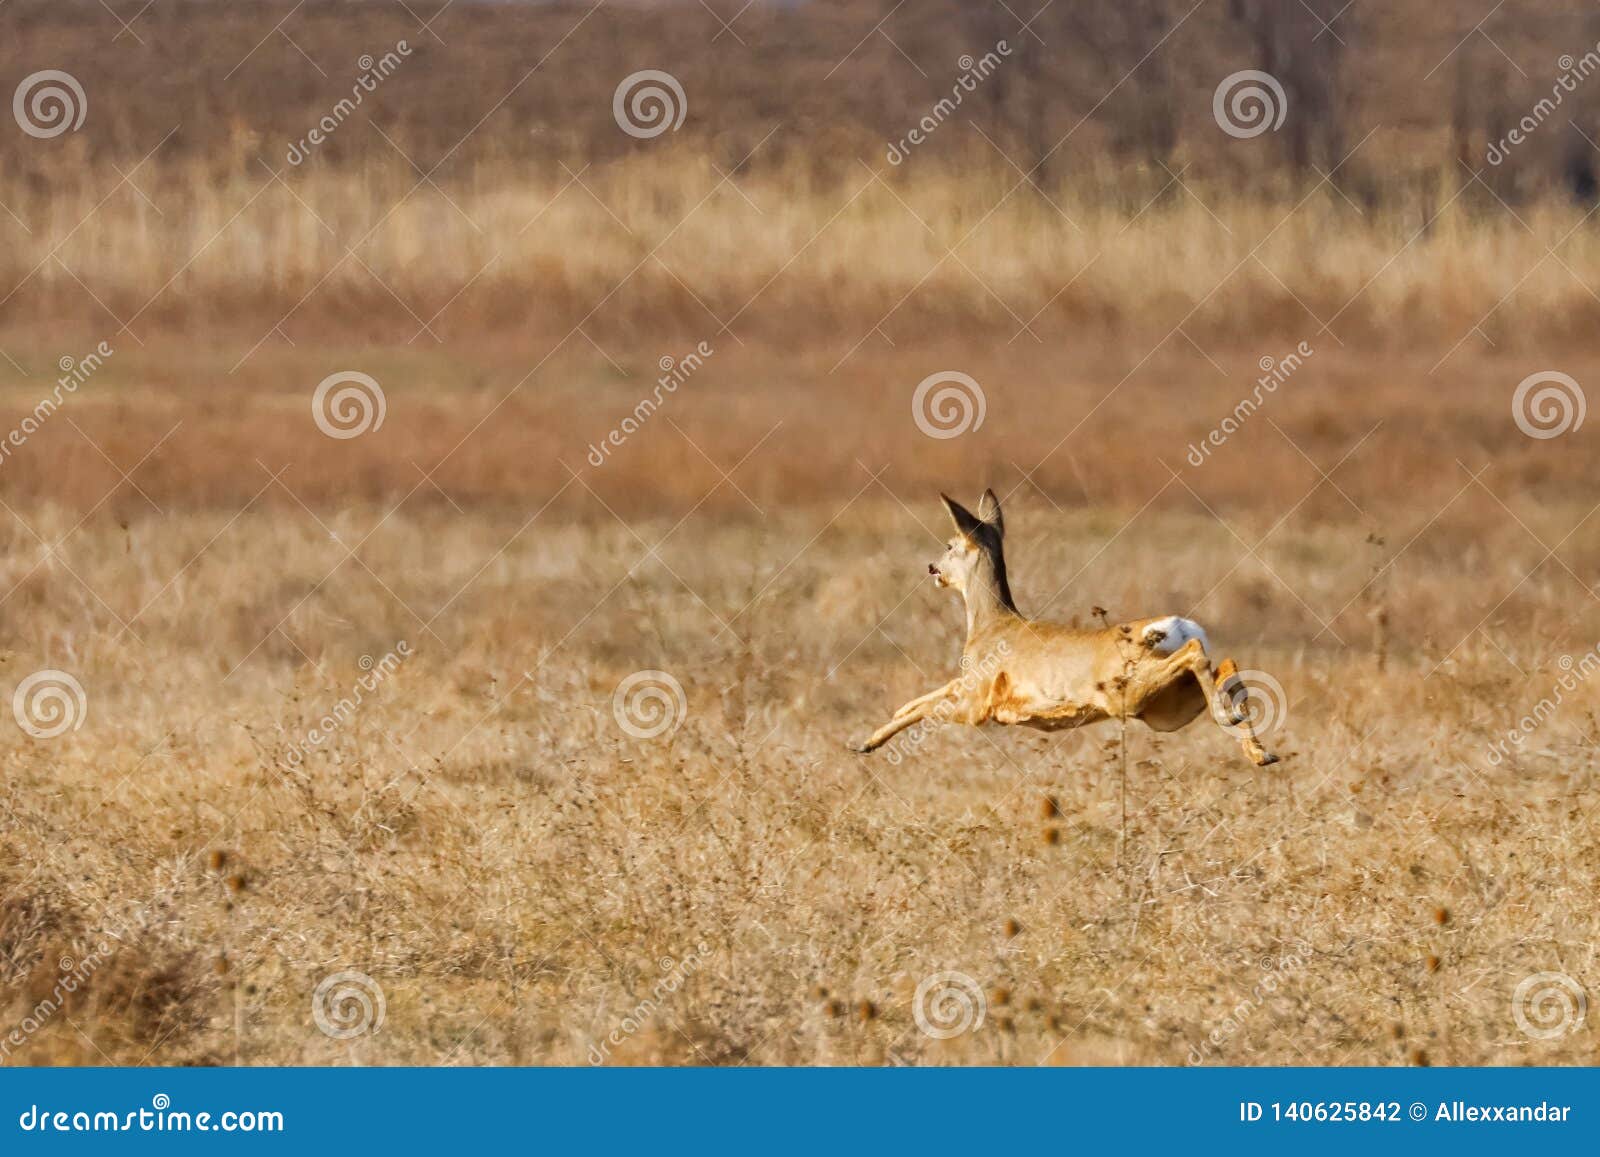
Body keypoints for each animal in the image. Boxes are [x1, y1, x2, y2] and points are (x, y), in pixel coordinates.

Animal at [848, 490, 1281, 767]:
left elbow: (928, 708)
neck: (990, 625)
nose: (932, 568)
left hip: (1129, 694)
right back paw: (1260, 752)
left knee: (1199, 654)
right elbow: (922, 699)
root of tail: (1176, 625)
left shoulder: (978, 704)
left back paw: (1233, 722)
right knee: (1225, 664)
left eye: (951, 544)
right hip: (1166, 708)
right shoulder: (967, 686)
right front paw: (868, 738)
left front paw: (864, 743)